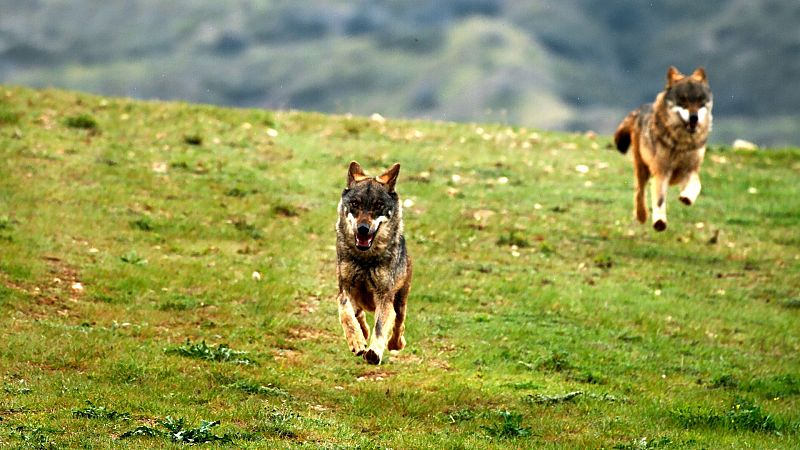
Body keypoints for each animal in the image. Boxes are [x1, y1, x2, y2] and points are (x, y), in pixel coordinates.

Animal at [335, 161, 412, 365]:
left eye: (378, 206)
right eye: (355, 204)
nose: (363, 229)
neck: (365, 260)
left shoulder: (384, 296)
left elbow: (380, 327)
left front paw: (374, 352)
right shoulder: (344, 290)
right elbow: (346, 314)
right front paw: (356, 341)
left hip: (400, 299)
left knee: (399, 322)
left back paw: (395, 343)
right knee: (359, 314)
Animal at [614, 66, 713, 231]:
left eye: (699, 100)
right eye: (683, 100)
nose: (694, 118)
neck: (682, 143)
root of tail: (641, 108)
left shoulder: (690, 170)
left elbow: (696, 185)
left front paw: (687, 197)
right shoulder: (661, 172)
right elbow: (659, 200)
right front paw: (659, 222)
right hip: (642, 169)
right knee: (639, 192)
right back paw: (641, 215)